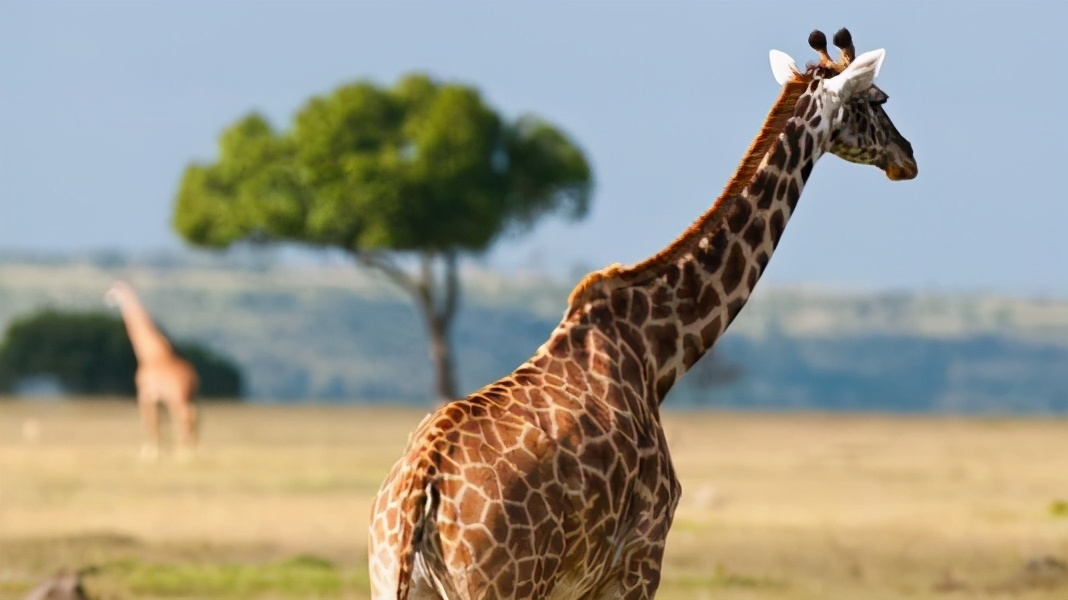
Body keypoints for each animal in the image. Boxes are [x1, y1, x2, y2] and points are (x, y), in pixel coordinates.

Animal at [105, 281, 199, 460]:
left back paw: (185, 454)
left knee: (185, 417)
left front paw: (149, 454)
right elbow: (161, 425)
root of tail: (193, 377)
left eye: (115, 290)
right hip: (189, 397)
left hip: (177, 397)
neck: (150, 354)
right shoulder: (158, 399)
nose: (108, 298)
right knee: (193, 418)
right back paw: (191, 449)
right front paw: (160, 453)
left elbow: (149, 423)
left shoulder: (144, 394)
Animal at [369, 28, 917, 599]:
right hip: (502, 584)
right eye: (878, 99)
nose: (908, 157)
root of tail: (416, 495)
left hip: (393, 579)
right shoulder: (639, 558)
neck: (658, 356)